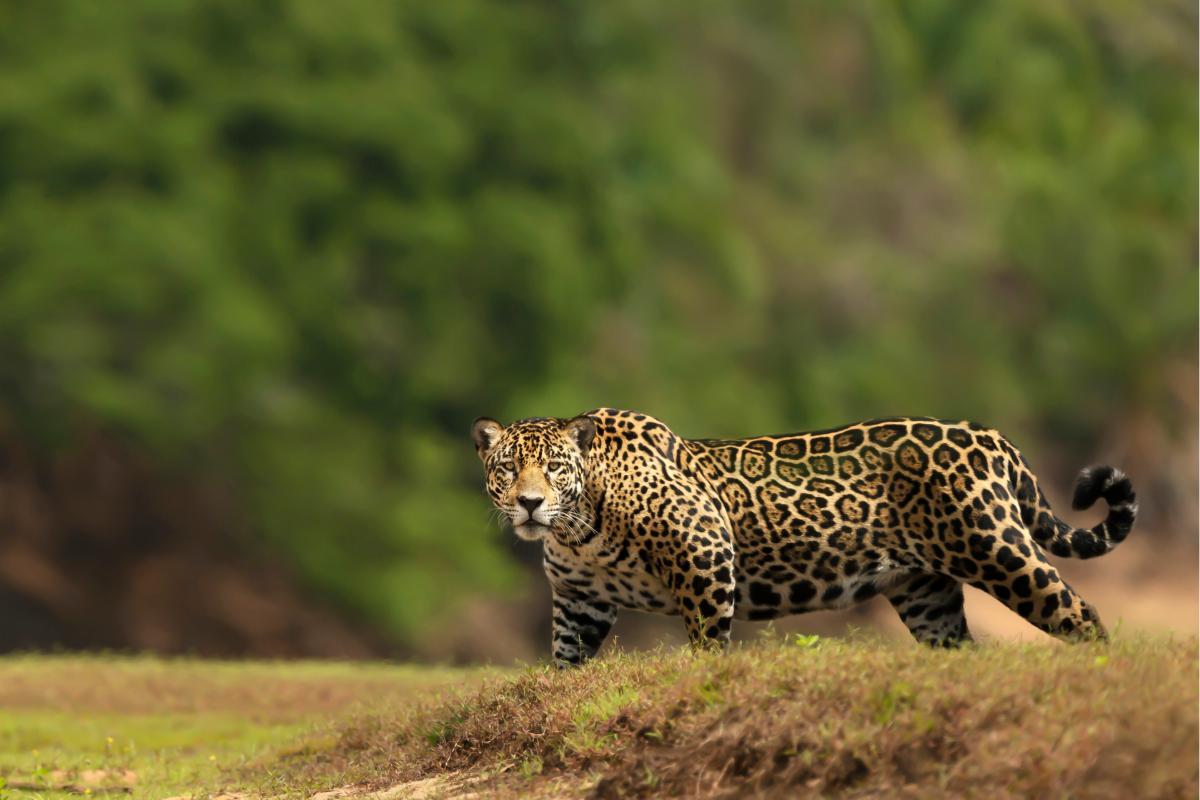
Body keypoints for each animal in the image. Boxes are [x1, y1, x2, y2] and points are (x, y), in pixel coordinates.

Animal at [471, 409, 1136, 666]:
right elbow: (564, 662)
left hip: (995, 549)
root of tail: (991, 436)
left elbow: (707, 642)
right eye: (508, 468)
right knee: (958, 646)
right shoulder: (579, 602)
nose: (530, 503)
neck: (579, 527)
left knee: (1078, 612)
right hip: (926, 591)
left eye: (554, 468)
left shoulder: (704, 553)